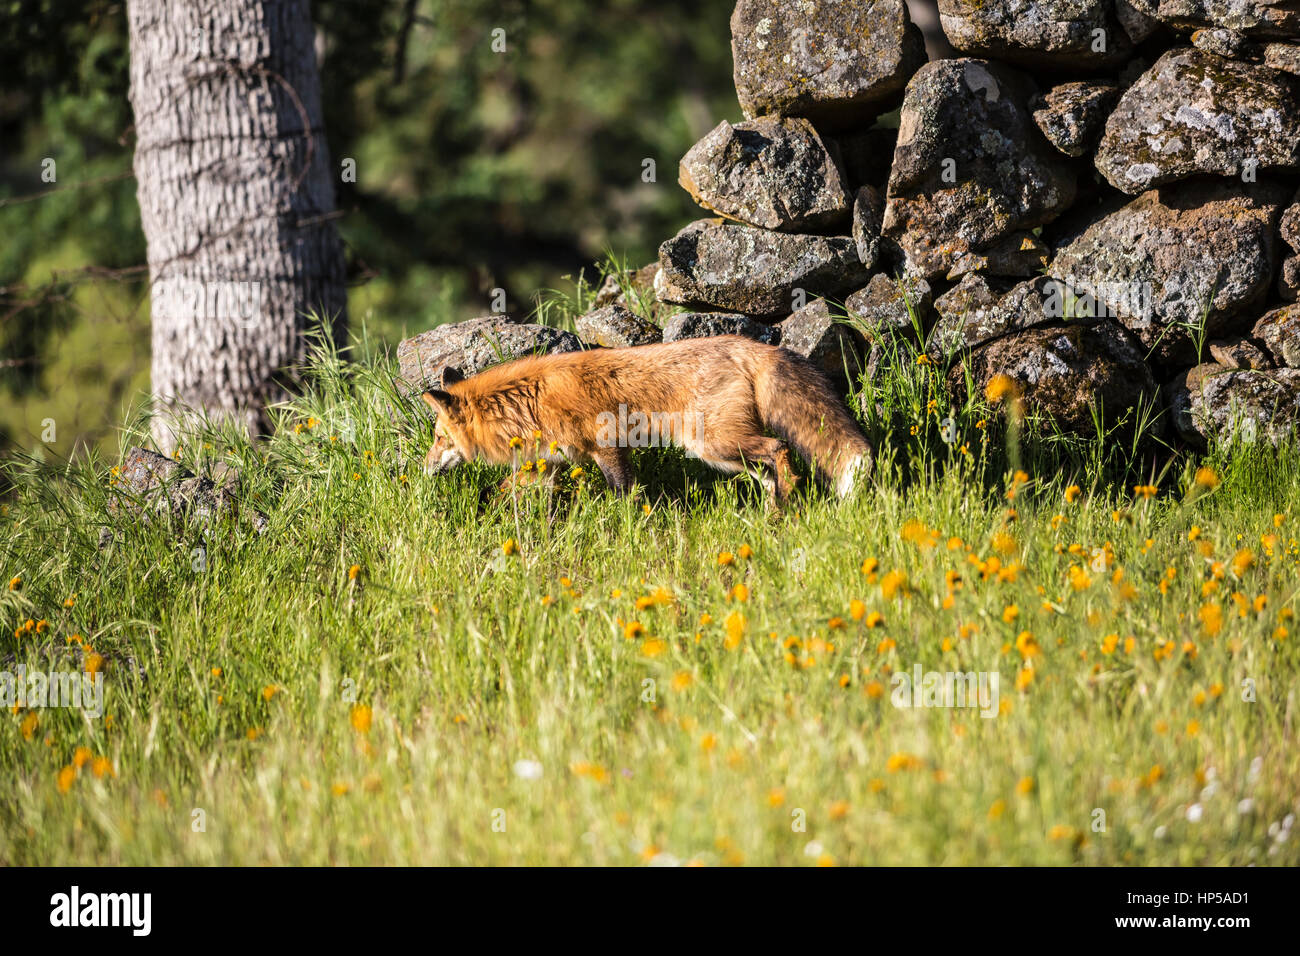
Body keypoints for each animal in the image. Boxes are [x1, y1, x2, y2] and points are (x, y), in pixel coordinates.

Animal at [420, 335, 873, 505]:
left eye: (440, 438)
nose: (424, 467)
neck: (531, 401)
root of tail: (749, 345)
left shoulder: (607, 445)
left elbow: (625, 493)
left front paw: (632, 525)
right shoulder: (548, 464)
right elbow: (496, 493)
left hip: (714, 443)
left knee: (779, 450)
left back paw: (787, 501)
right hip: (725, 454)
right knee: (765, 474)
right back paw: (775, 512)